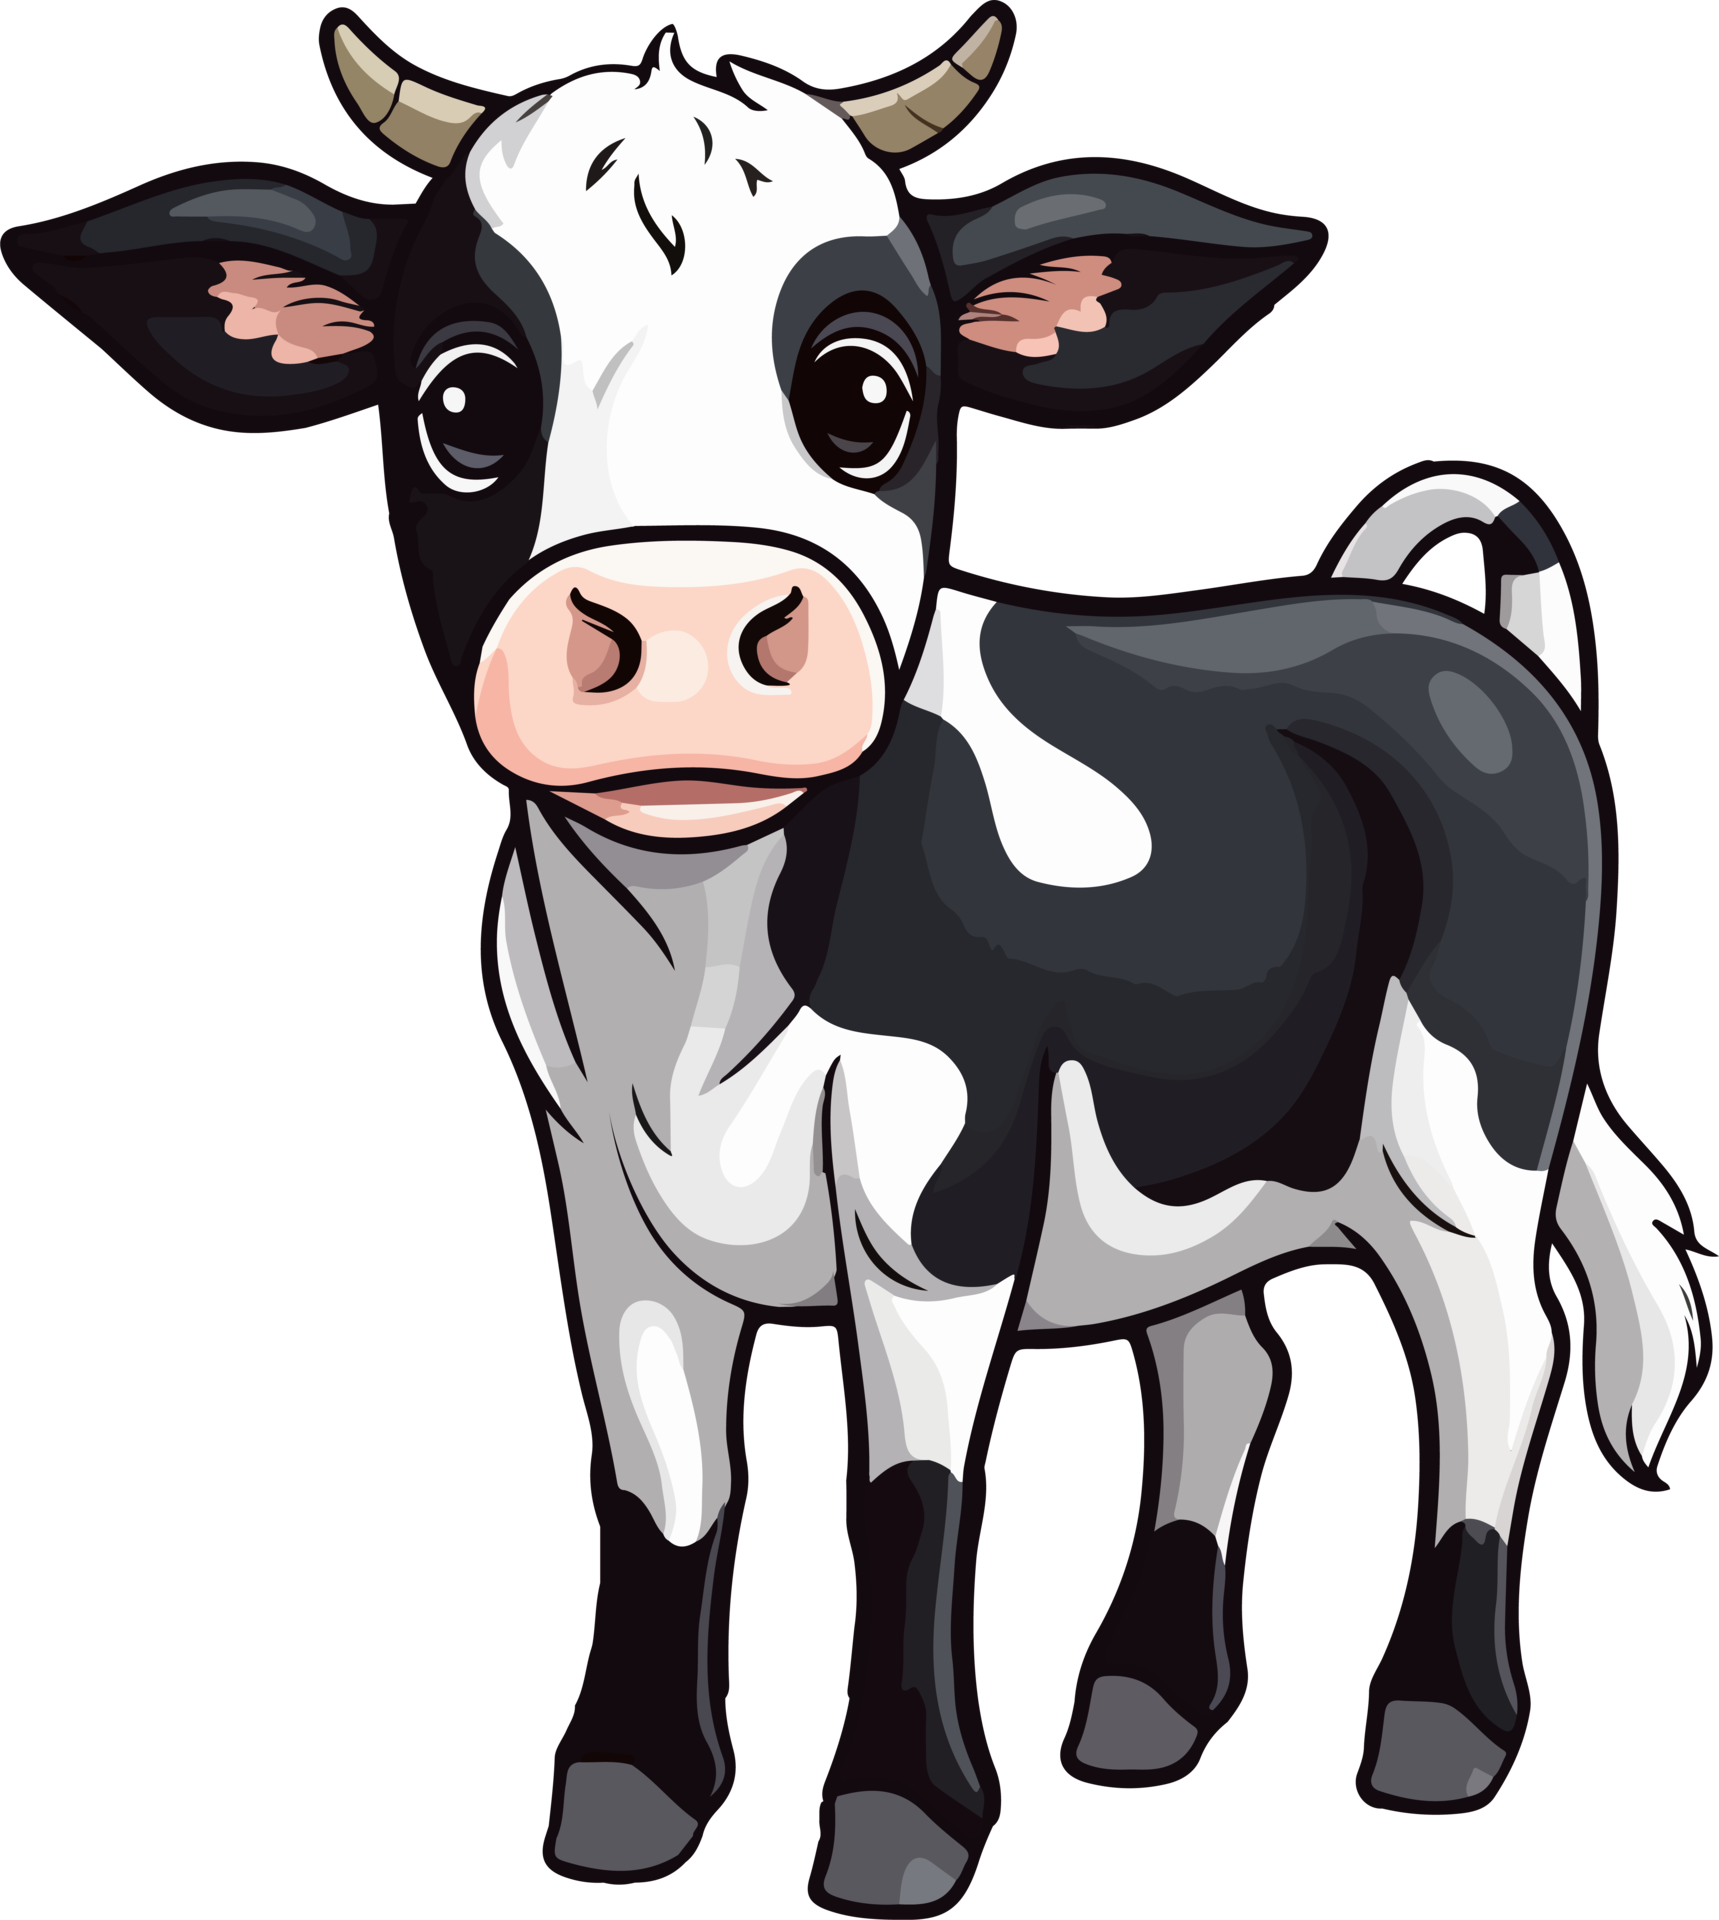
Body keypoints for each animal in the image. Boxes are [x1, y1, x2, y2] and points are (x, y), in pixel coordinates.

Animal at [28, 12, 1698, 1907]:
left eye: (864, 394)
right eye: (461, 402)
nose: (679, 630)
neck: (690, 979)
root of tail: (1430, 634)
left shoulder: (935, 1188)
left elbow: (914, 1490)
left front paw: (900, 1821)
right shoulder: (600, 1197)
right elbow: (661, 1485)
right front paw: (630, 1801)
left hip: (1459, 1126)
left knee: (1497, 1352)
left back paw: (1438, 1732)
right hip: (1202, 1157)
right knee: (1226, 1362)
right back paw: (1142, 1709)